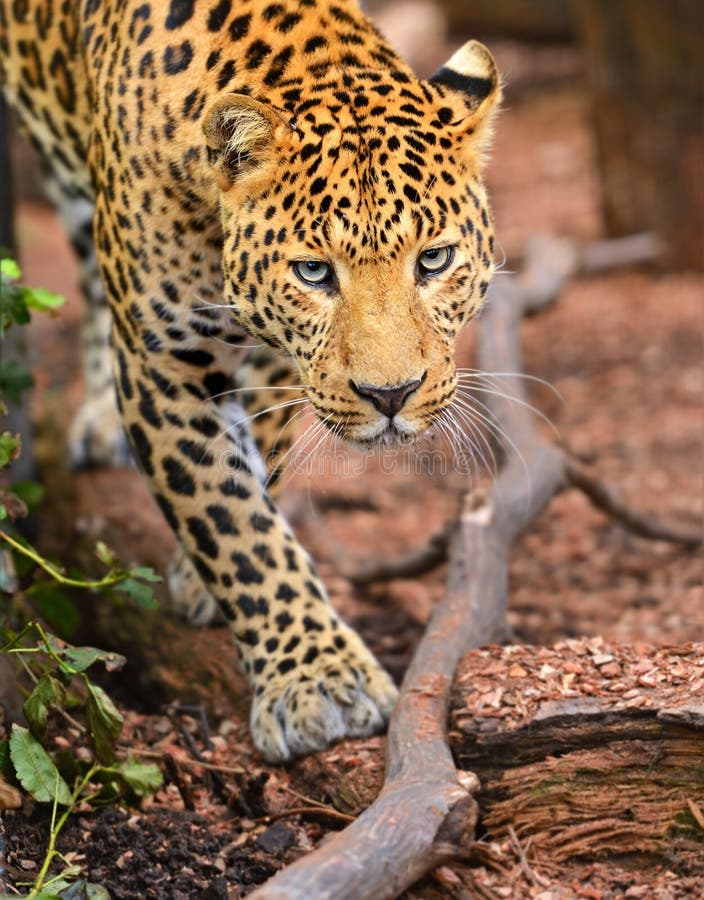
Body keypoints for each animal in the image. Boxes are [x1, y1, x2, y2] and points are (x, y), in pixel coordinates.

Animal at [2, 0, 501, 762]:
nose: (391, 396)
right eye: (314, 272)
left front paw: (200, 579)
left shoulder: (278, 361)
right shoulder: (159, 362)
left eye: (435, 259)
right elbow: (230, 519)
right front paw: (317, 681)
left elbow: (258, 455)